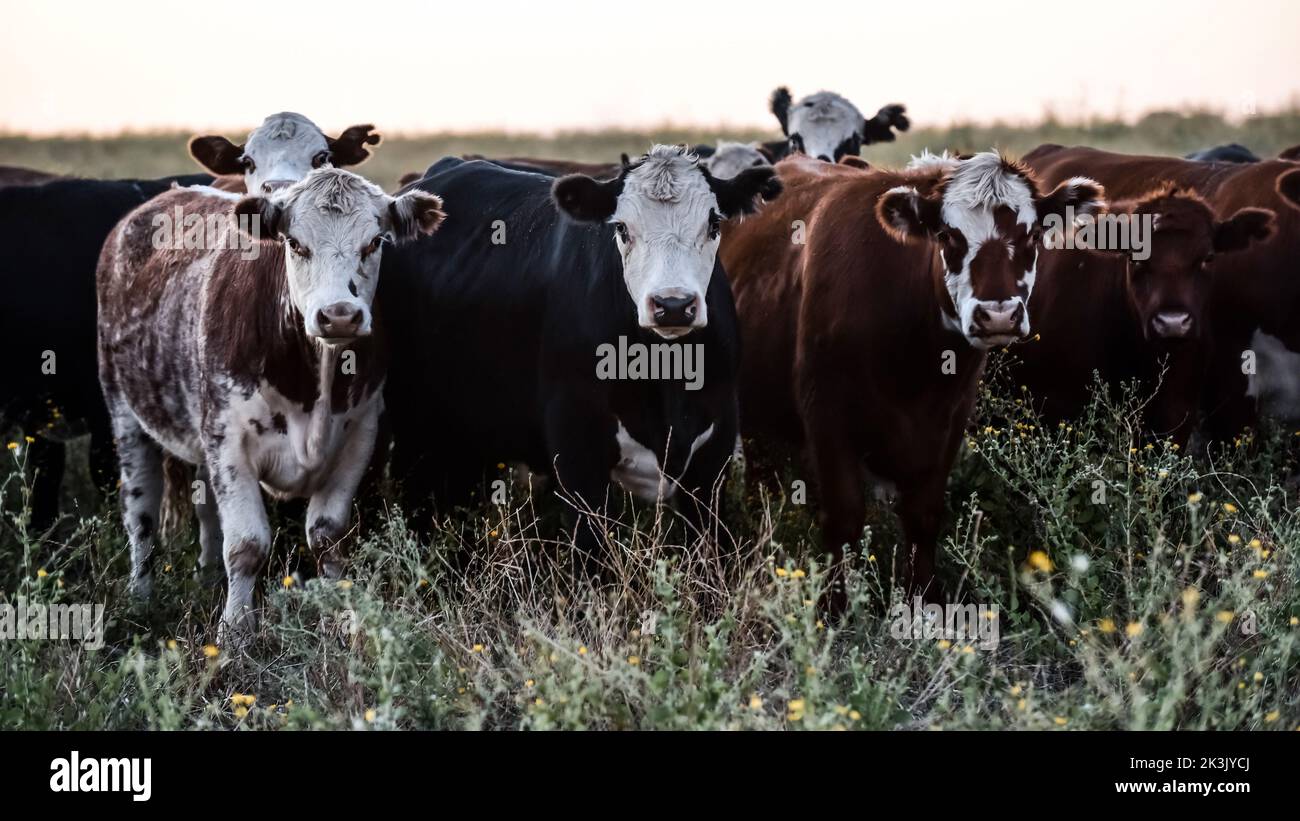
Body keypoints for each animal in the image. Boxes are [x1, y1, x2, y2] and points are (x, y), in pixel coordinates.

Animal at [96, 168, 444, 642]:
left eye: (375, 241)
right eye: (295, 243)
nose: (339, 314)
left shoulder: (359, 436)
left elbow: (328, 537)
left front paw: (337, 615)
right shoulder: (228, 442)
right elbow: (246, 545)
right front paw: (235, 631)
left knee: (206, 512)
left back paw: (207, 578)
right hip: (124, 412)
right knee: (140, 514)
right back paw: (140, 596)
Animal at [378, 146, 779, 569]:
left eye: (714, 224)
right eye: (622, 229)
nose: (673, 305)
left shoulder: (714, 450)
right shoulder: (576, 445)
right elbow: (591, 552)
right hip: (415, 425)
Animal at [718, 152, 1103, 609]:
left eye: (1031, 236)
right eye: (949, 236)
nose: (997, 315)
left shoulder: (949, 424)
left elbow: (923, 516)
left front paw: (925, 600)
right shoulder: (827, 420)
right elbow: (843, 518)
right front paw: (836, 604)